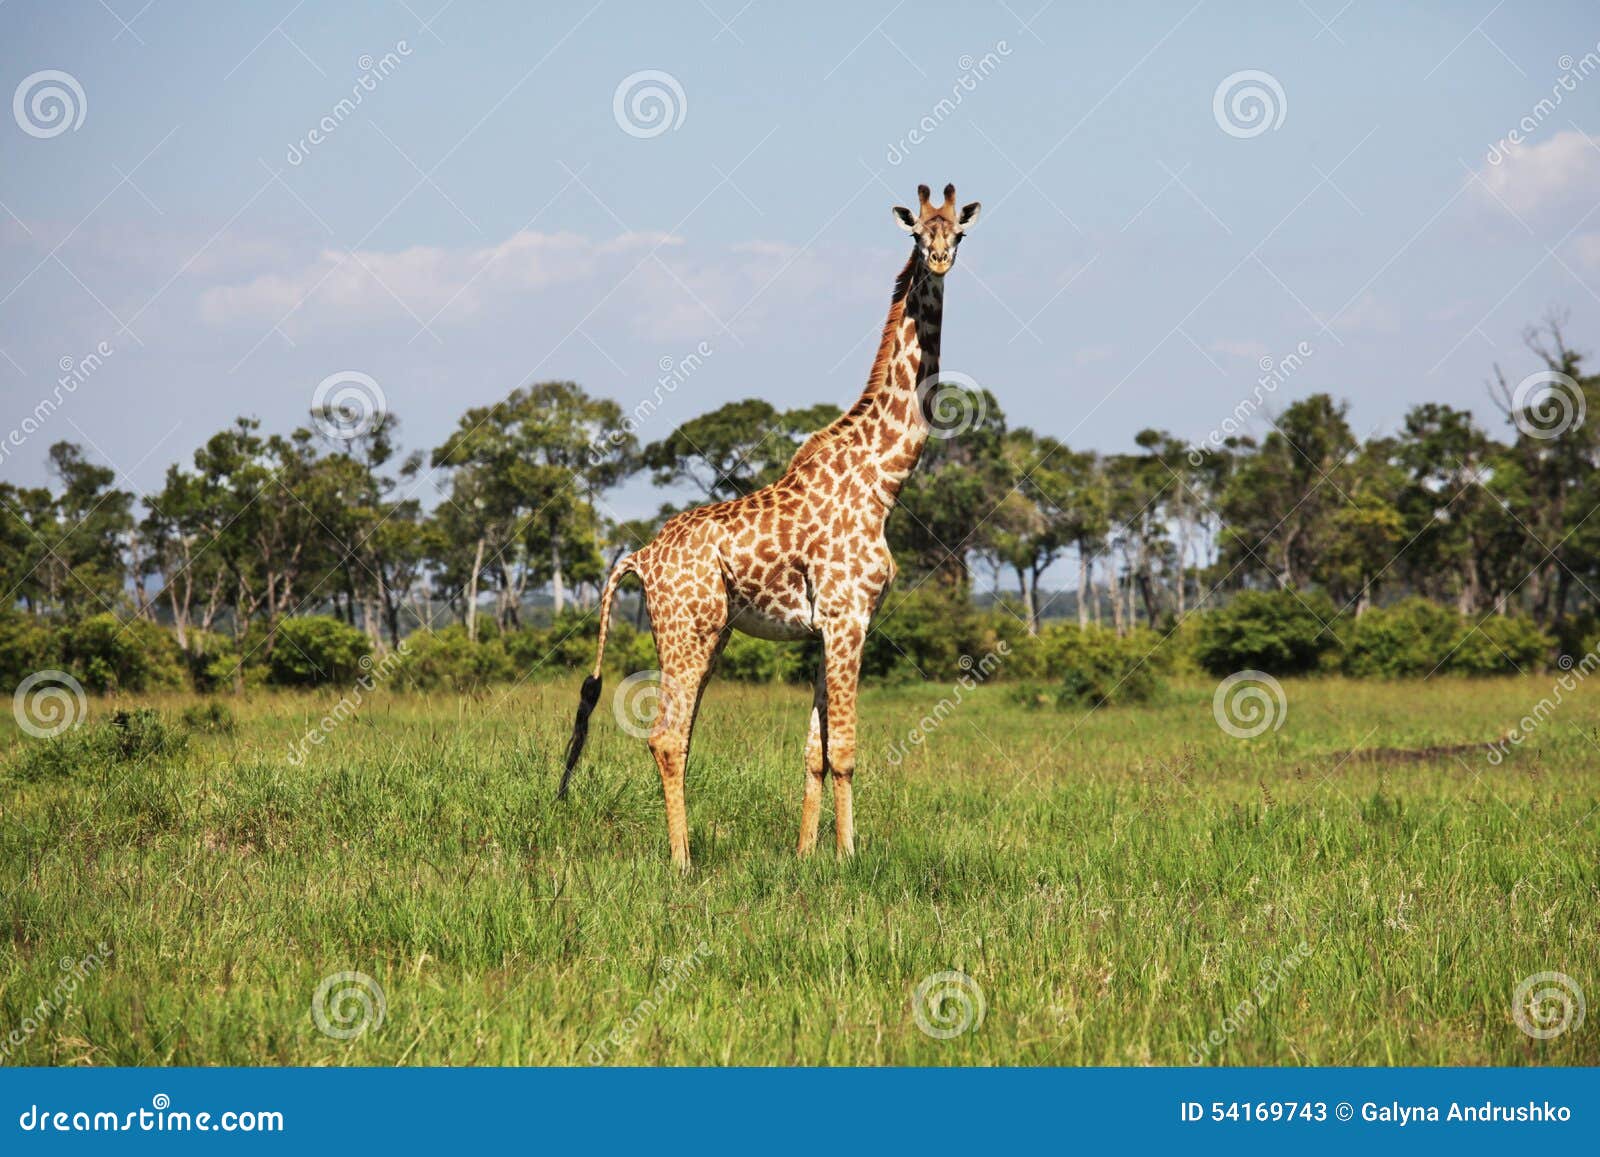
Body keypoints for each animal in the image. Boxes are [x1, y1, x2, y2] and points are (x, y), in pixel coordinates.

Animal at [560, 183, 981, 870]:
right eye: (918, 233)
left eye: (961, 232)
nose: (941, 260)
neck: (883, 481)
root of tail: (639, 558)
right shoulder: (849, 617)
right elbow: (845, 750)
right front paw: (849, 857)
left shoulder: (823, 629)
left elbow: (813, 751)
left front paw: (807, 855)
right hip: (689, 629)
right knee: (666, 736)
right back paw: (682, 863)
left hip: (705, 634)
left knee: (680, 735)